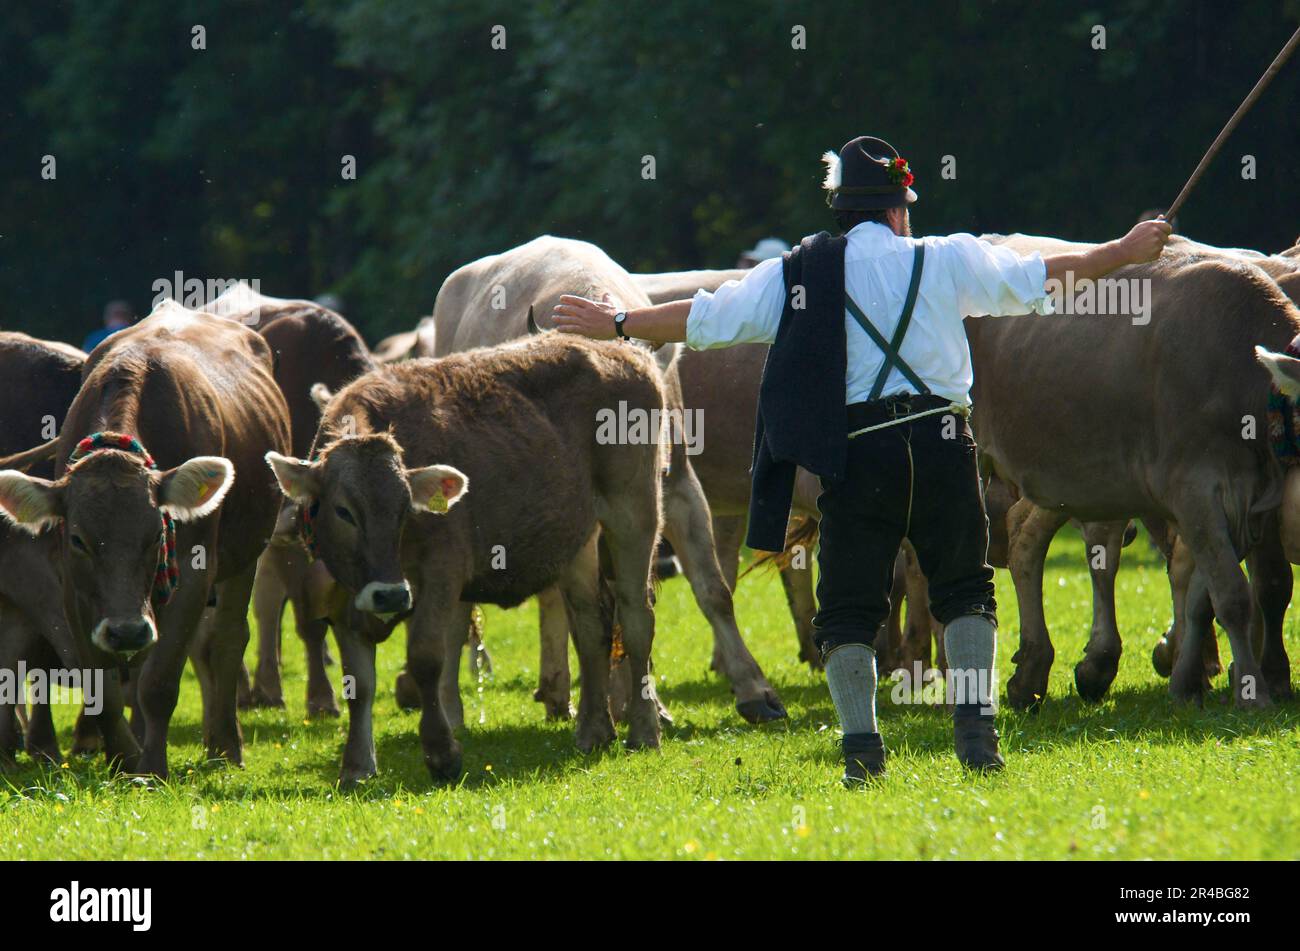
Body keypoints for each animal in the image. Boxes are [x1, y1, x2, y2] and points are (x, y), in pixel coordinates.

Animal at [0, 301, 291, 777]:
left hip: (246, 555)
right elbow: (101, 686)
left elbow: (159, 681)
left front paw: (151, 767)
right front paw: (124, 758)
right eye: (77, 539)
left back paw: (224, 745)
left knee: (227, 640)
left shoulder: (193, 573)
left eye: (157, 533)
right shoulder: (73, 589)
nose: (126, 632)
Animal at [265, 333, 667, 785]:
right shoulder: (343, 599)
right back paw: (594, 729)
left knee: (636, 622)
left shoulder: (442, 572)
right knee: (590, 626)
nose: (390, 596)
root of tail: (624, 350)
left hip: (633, 515)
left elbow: (426, 657)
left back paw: (644, 730)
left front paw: (442, 753)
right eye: (343, 511)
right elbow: (360, 683)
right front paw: (357, 765)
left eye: (405, 509)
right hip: (578, 541)